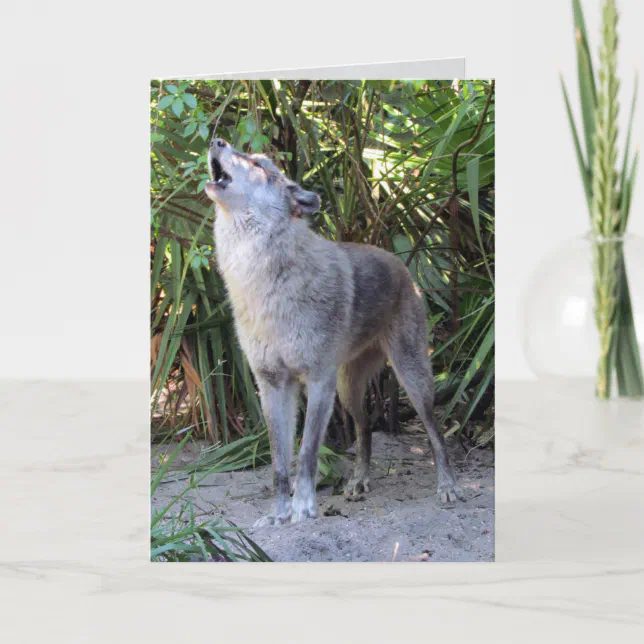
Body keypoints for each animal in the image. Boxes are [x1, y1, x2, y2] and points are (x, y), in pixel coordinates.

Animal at [205, 138, 463, 526]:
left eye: (259, 164)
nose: (216, 140)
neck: (263, 282)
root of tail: (399, 262)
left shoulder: (317, 380)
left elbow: (307, 454)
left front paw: (303, 510)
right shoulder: (272, 384)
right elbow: (279, 464)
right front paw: (278, 515)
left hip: (411, 380)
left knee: (435, 430)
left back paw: (447, 486)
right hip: (348, 389)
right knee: (365, 427)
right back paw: (357, 483)